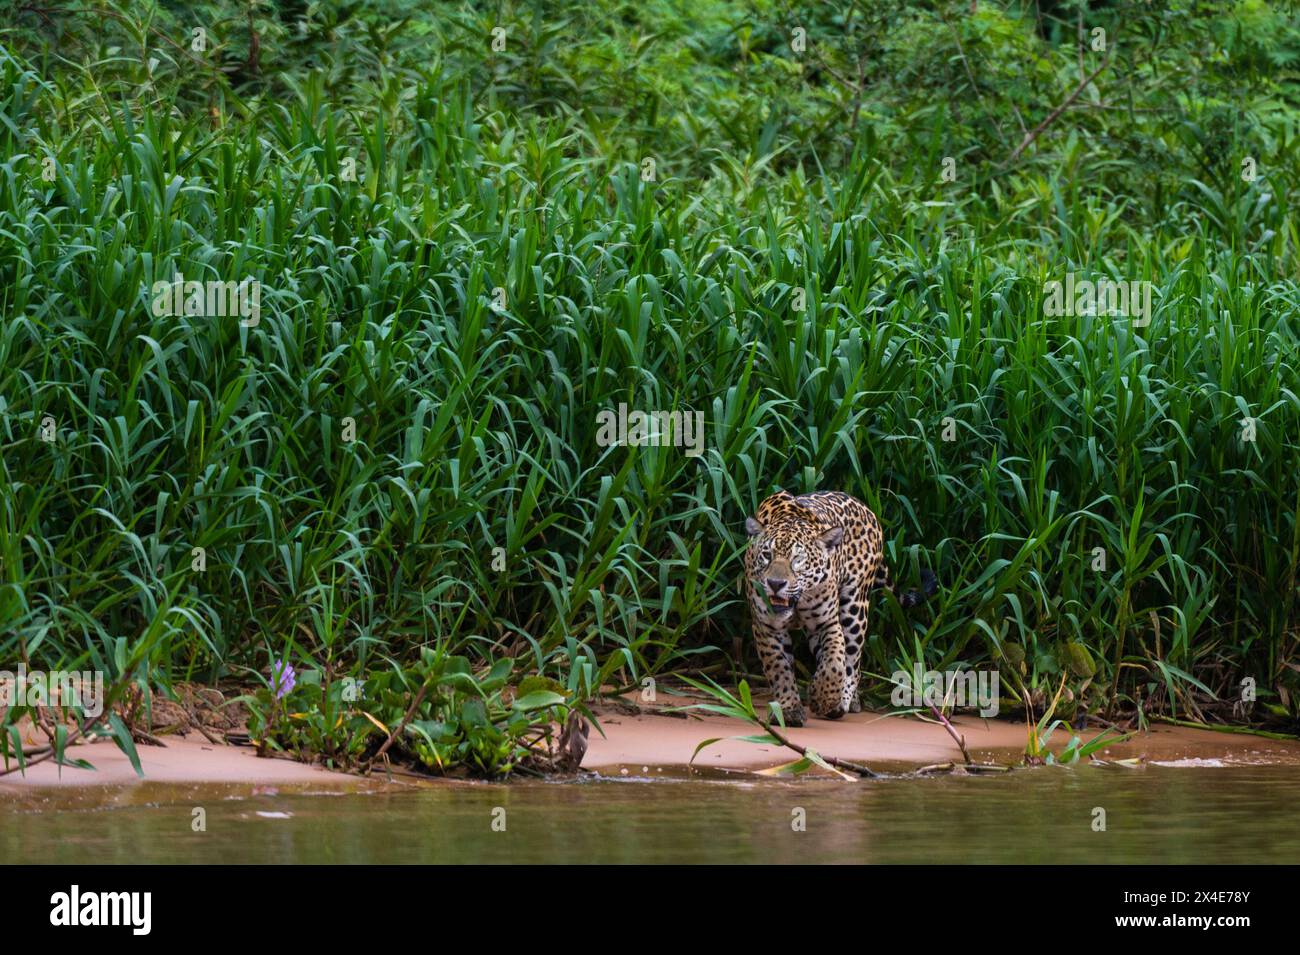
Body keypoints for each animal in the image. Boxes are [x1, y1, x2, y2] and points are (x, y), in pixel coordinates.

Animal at [744, 489, 938, 726]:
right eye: (766, 555)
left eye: (797, 559)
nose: (775, 584)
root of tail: (867, 509)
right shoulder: (767, 627)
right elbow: (779, 669)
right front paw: (789, 710)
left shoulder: (826, 622)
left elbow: (835, 661)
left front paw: (823, 698)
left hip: (855, 606)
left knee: (853, 661)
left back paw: (842, 702)